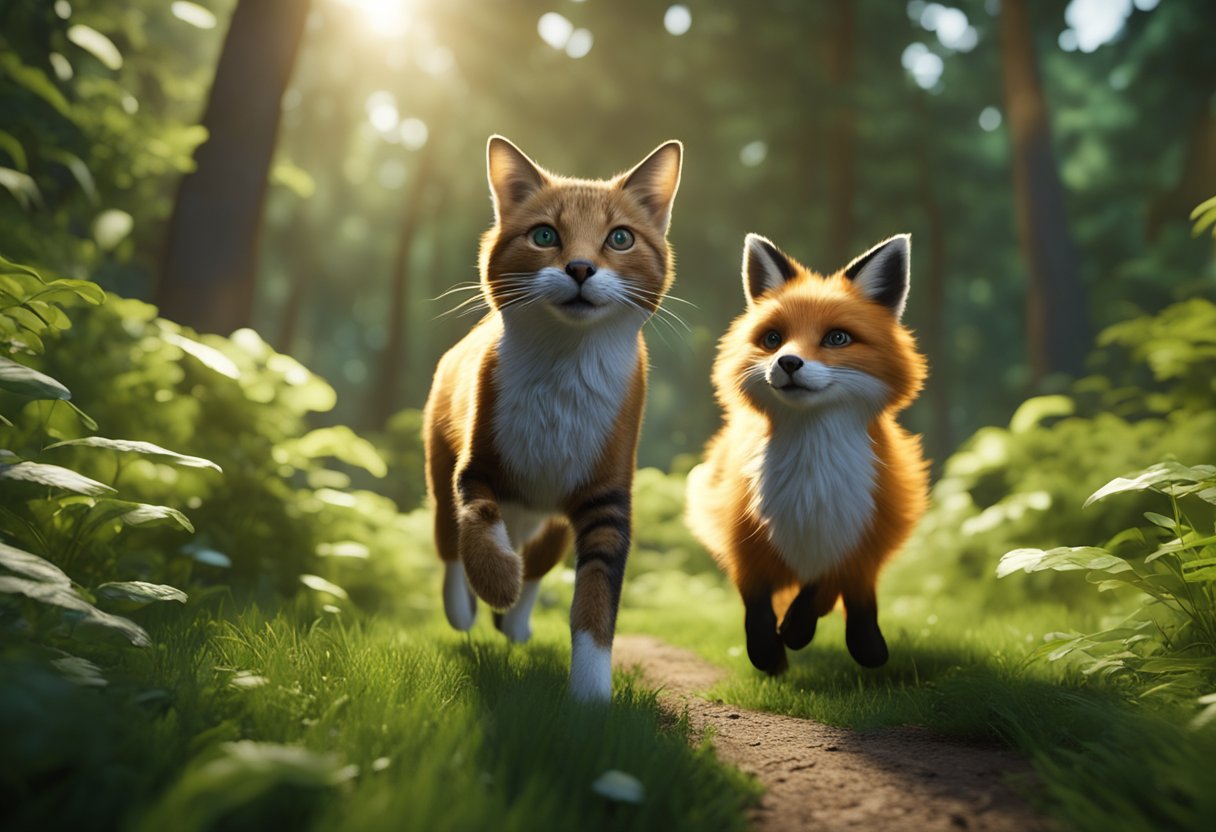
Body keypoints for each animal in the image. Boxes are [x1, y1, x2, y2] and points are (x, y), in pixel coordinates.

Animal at [423, 135, 682, 702]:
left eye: (620, 238)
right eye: (545, 234)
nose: (580, 268)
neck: (567, 365)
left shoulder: (607, 499)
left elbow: (597, 598)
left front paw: (590, 697)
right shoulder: (476, 465)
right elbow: (477, 519)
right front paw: (495, 579)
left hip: (557, 522)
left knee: (539, 564)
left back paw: (515, 624)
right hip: (439, 462)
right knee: (448, 538)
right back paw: (464, 608)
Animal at [686, 233, 928, 675]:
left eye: (837, 338)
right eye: (772, 339)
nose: (788, 362)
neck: (810, 480)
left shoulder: (858, 534)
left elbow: (831, 588)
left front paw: (810, 632)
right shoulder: (742, 536)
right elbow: (756, 607)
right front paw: (768, 654)